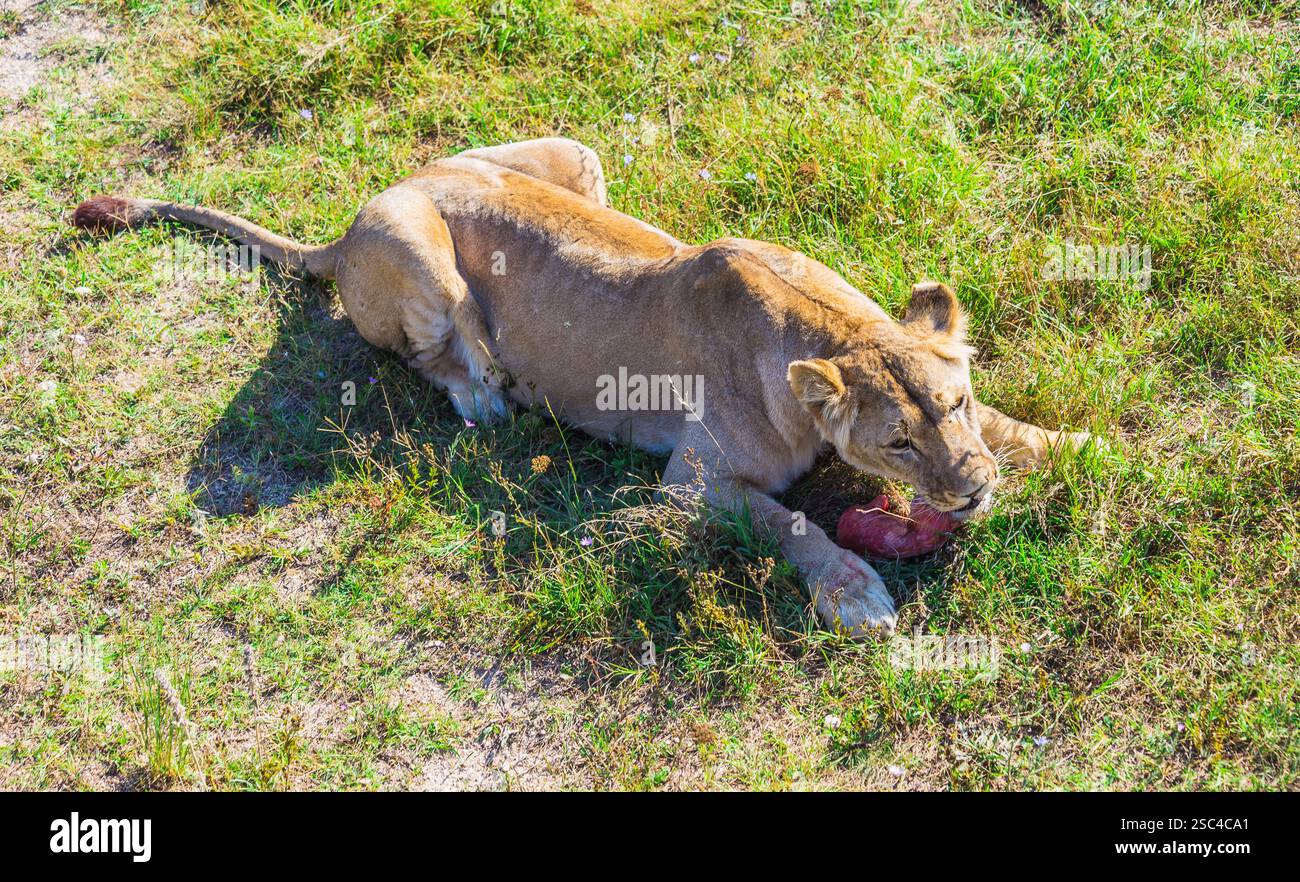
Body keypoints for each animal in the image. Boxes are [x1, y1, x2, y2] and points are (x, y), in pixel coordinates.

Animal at [73, 137, 1092, 637]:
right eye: (898, 445)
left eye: (955, 409)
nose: (974, 495)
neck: (824, 329)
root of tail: (357, 213)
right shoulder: (689, 483)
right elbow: (792, 525)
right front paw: (857, 595)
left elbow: (1020, 428)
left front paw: (1081, 450)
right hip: (425, 256)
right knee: (437, 356)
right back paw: (487, 396)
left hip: (574, 154)